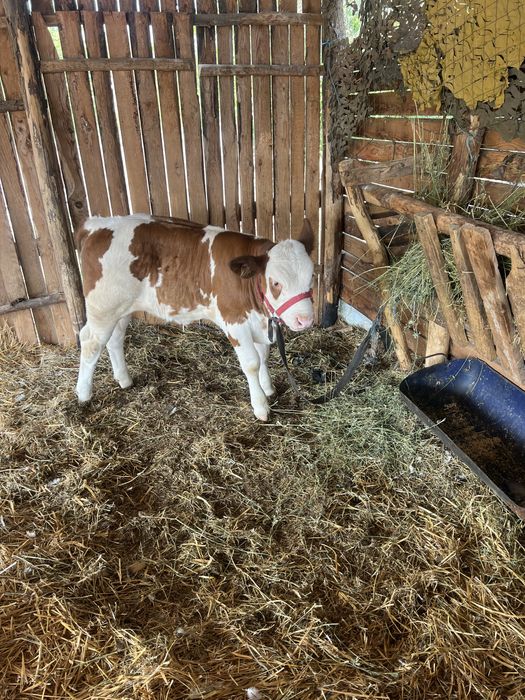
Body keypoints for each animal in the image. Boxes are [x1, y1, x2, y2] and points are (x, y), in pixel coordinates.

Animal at [75, 215, 315, 420]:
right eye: (276, 282)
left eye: (312, 276)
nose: (305, 320)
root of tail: (97, 225)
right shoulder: (234, 321)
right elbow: (252, 363)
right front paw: (261, 406)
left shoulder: (260, 322)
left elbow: (264, 356)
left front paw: (268, 388)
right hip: (102, 307)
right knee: (90, 342)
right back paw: (83, 394)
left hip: (122, 308)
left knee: (114, 339)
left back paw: (124, 380)